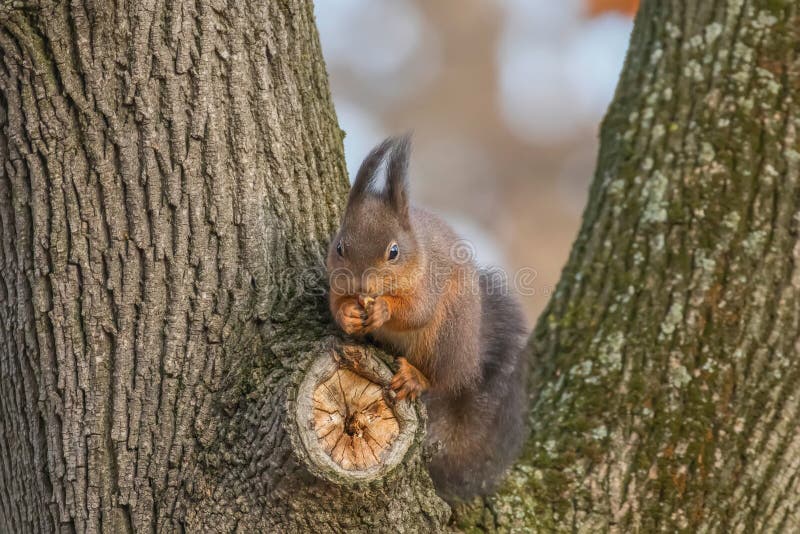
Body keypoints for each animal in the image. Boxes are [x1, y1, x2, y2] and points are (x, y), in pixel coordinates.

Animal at [326, 135, 528, 501]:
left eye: (393, 251)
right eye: (340, 248)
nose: (362, 286)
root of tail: (469, 366)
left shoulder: (429, 282)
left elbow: (416, 311)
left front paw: (383, 309)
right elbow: (336, 304)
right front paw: (348, 313)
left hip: (446, 335)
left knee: (438, 377)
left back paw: (415, 377)